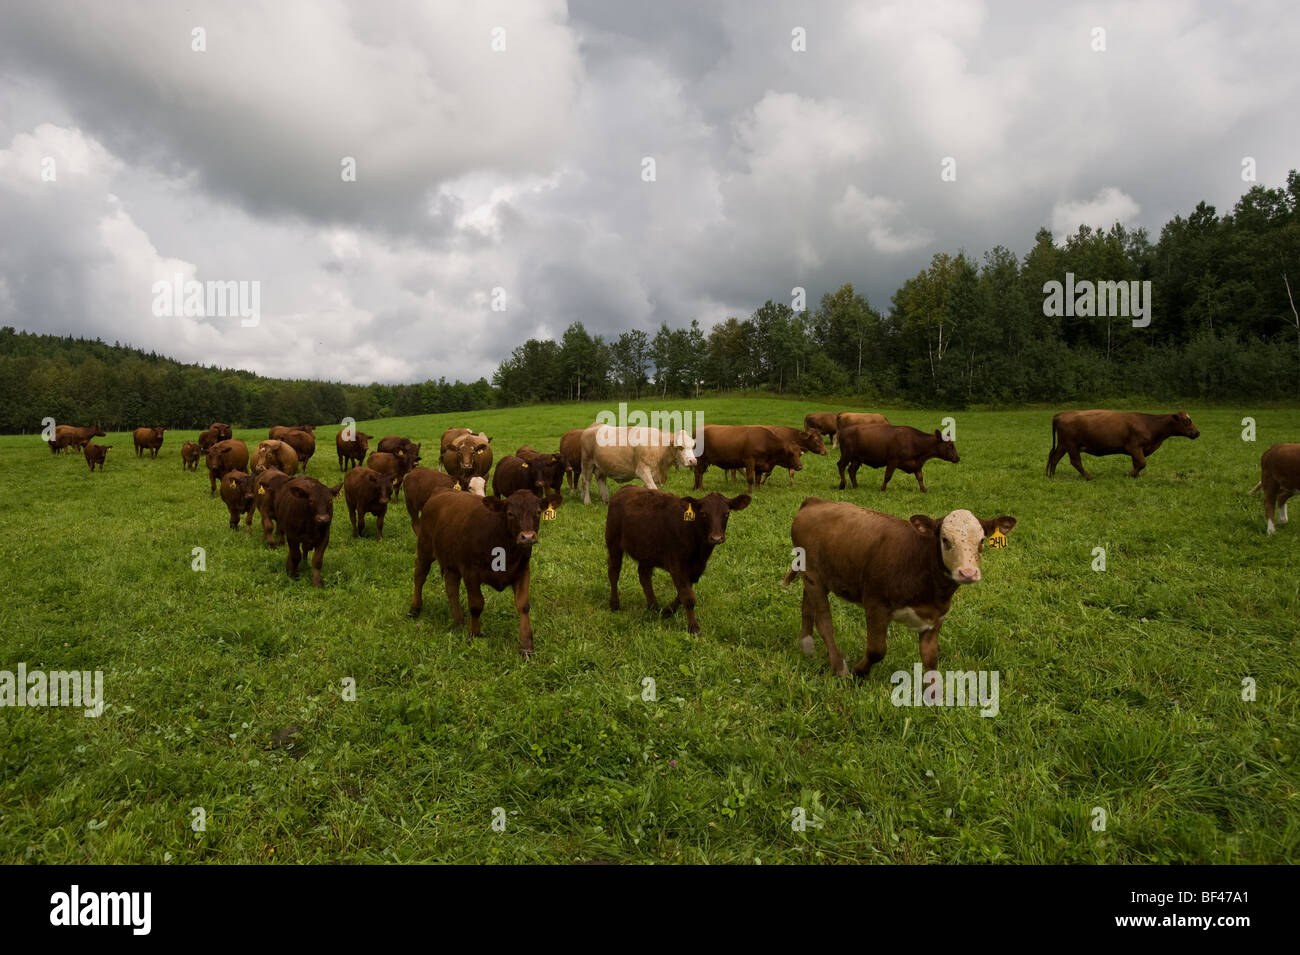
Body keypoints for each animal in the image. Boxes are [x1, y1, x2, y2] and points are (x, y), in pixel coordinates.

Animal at [409, 488, 564, 657]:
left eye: (537, 512)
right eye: (510, 513)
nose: (528, 537)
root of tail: (440, 491)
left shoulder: (523, 570)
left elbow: (523, 605)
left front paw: (526, 645)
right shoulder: (470, 572)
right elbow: (476, 604)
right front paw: (474, 634)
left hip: (451, 562)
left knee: (451, 587)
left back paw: (459, 621)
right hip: (425, 548)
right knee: (420, 575)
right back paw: (415, 608)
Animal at [605, 487, 750, 634]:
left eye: (726, 513)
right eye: (703, 513)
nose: (716, 538)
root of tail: (625, 489)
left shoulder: (695, 569)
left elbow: (683, 593)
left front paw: (667, 611)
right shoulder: (676, 565)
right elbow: (688, 597)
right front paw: (693, 628)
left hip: (647, 550)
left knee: (644, 575)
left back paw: (653, 606)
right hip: (613, 542)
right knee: (614, 572)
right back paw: (615, 604)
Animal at [783, 498, 1017, 677]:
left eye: (982, 541)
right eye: (945, 539)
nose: (968, 573)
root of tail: (815, 501)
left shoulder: (936, 617)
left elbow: (931, 659)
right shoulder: (876, 604)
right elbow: (877, 650)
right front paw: (858, 673)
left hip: (815, 577)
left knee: (807, 607)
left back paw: (807, 647)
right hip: (813, 575)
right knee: (824, 621)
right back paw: (839, 666)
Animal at [1046, 410, 1200, 480]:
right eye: (1187, 421)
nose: (1197, 433)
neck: (1150, 424)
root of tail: (1061, 414)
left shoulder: (1136, 450)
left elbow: (1137, 463)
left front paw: (1135, 476)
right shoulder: (1134, 447)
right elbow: (1142, 463)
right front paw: (1128, 474)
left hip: (1063, 444)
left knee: (1054, 458)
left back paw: (1052, 476)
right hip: (1071, 445)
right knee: (1075, 461)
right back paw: (1089, 477)